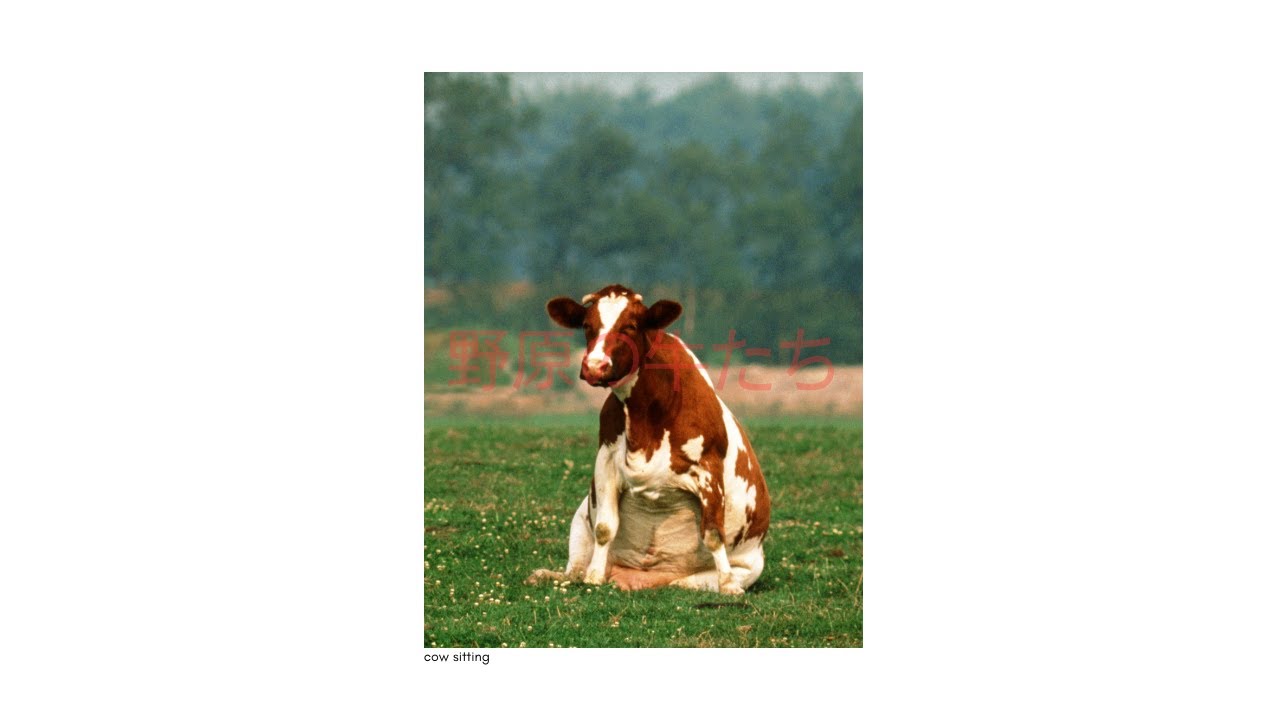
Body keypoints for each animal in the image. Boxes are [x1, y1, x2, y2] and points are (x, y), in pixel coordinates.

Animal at [526, 284, 770, 594]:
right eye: (587, 325)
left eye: (630, 326)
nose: (594, 366)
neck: (647, 417)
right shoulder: (605, 460)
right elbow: (604, 528)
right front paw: (594, 576)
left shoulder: (709, 470)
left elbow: (714, 533)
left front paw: (728, 585)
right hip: (579, 522)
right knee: (575, 570)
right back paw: (550, 575)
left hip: (740, 570)